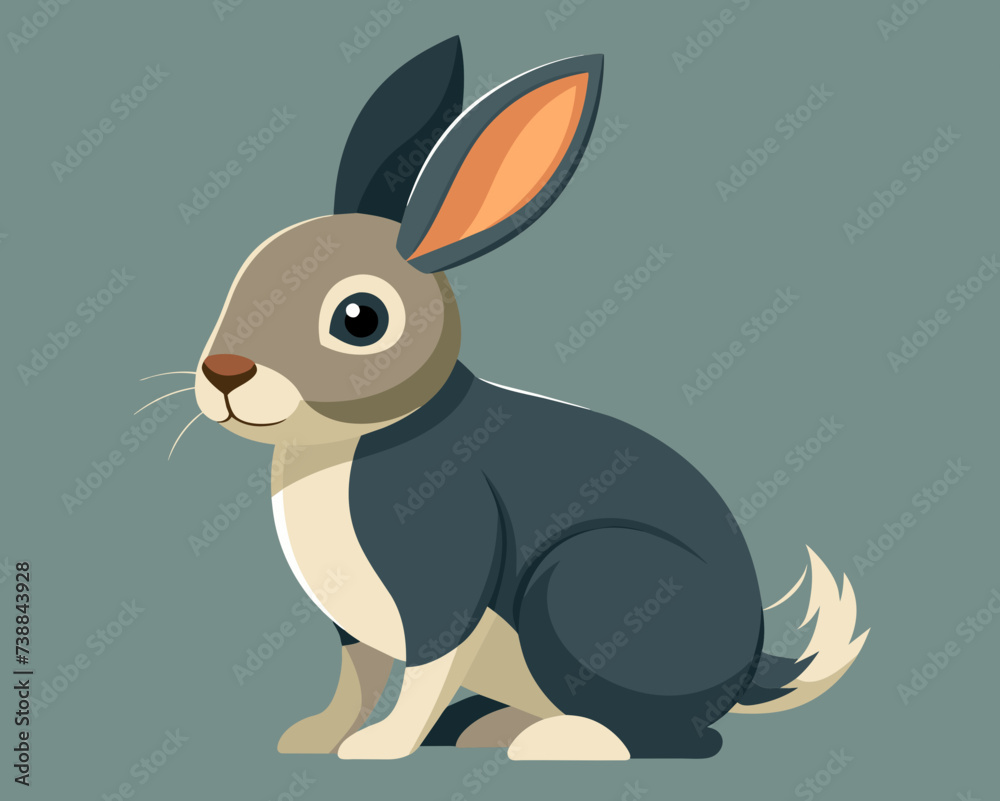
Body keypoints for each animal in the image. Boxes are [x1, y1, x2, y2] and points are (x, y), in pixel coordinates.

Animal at [192, 36, 868, 760]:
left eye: (360, 318)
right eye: (246, 274)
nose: (225, 374)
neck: (352, 439)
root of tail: (747, 671)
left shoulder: (443, 577)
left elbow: (423, 671)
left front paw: (380, 746)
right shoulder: (355, 625)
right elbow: (358, 677)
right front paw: (314, 736)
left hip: (583, 586)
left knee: (678, 739)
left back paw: (560, 741)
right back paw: (491, 728)